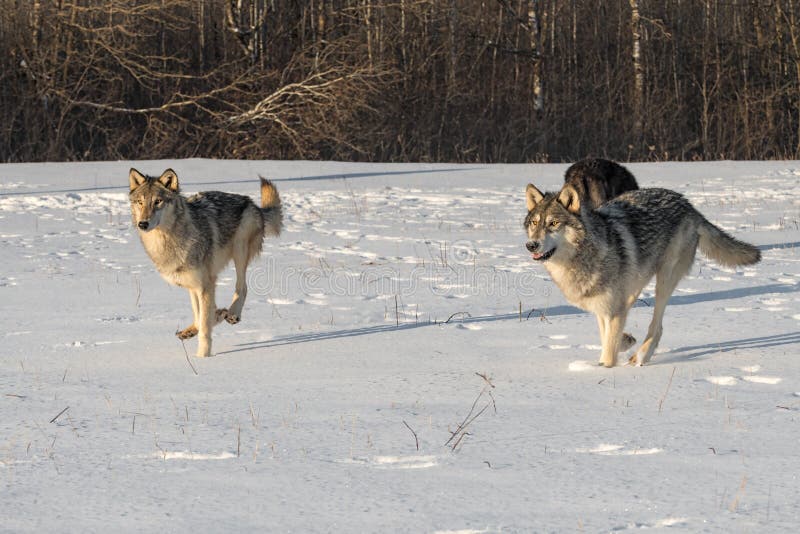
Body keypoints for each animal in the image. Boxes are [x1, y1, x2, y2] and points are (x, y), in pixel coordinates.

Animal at [129, 168, 283, 358]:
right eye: (140, 202)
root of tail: (253, 204)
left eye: (158, 201)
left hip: (239, 251)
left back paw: (232, 314)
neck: (168, 241)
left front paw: (203, 358)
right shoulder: (196, 285)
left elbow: (204, 326)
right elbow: (201, 316)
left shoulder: (206, 284)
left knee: (242, 287)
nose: (142, 224)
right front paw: (208, 321)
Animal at [524, 183, 760, 367]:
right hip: (638, 282)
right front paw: (623, 342)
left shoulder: (612, 310)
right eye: (535, 223)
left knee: (658, 326)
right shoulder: (603, 309)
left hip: (664, 281)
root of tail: (687, 204)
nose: (531, 245)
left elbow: (609, 353)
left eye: (553, 223)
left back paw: (642, 357)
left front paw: (605, 369)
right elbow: (607, 337)